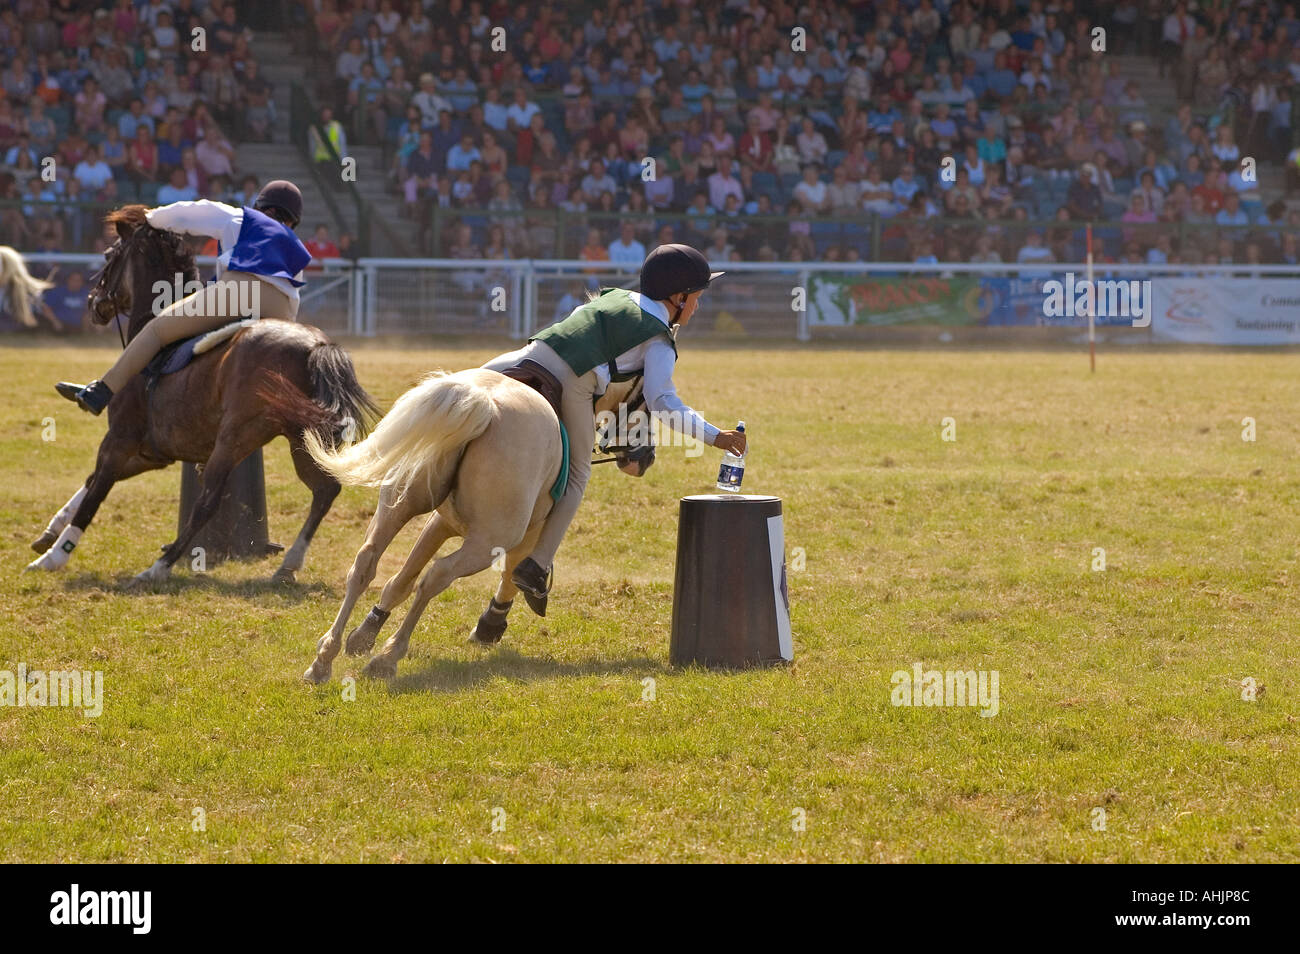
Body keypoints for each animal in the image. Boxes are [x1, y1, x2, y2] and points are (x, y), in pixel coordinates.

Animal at [27, 205, 379, 585]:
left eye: (109, 255)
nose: (93, 303)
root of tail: (317, 345)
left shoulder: (120, 440)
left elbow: (96, 494)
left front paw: (54, 556)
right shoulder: (149, 454)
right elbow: (91, 483)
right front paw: (49, 533)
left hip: (235, 438)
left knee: (208, 502)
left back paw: (159, 567)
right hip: (303, 438)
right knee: (325, 491)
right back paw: (288, 565)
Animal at [302, 368, 649, 682]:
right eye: (643, 403)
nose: (641, 459)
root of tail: (483, 403)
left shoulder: (440, 523)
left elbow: (401, 582)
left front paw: (363, 635)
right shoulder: (528, 537)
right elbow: (513, 576)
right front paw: (490, 626)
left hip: (400, 505)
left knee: (366, 562)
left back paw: (324, 660)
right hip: (487, 543)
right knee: (437, 576)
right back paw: (388, 657)